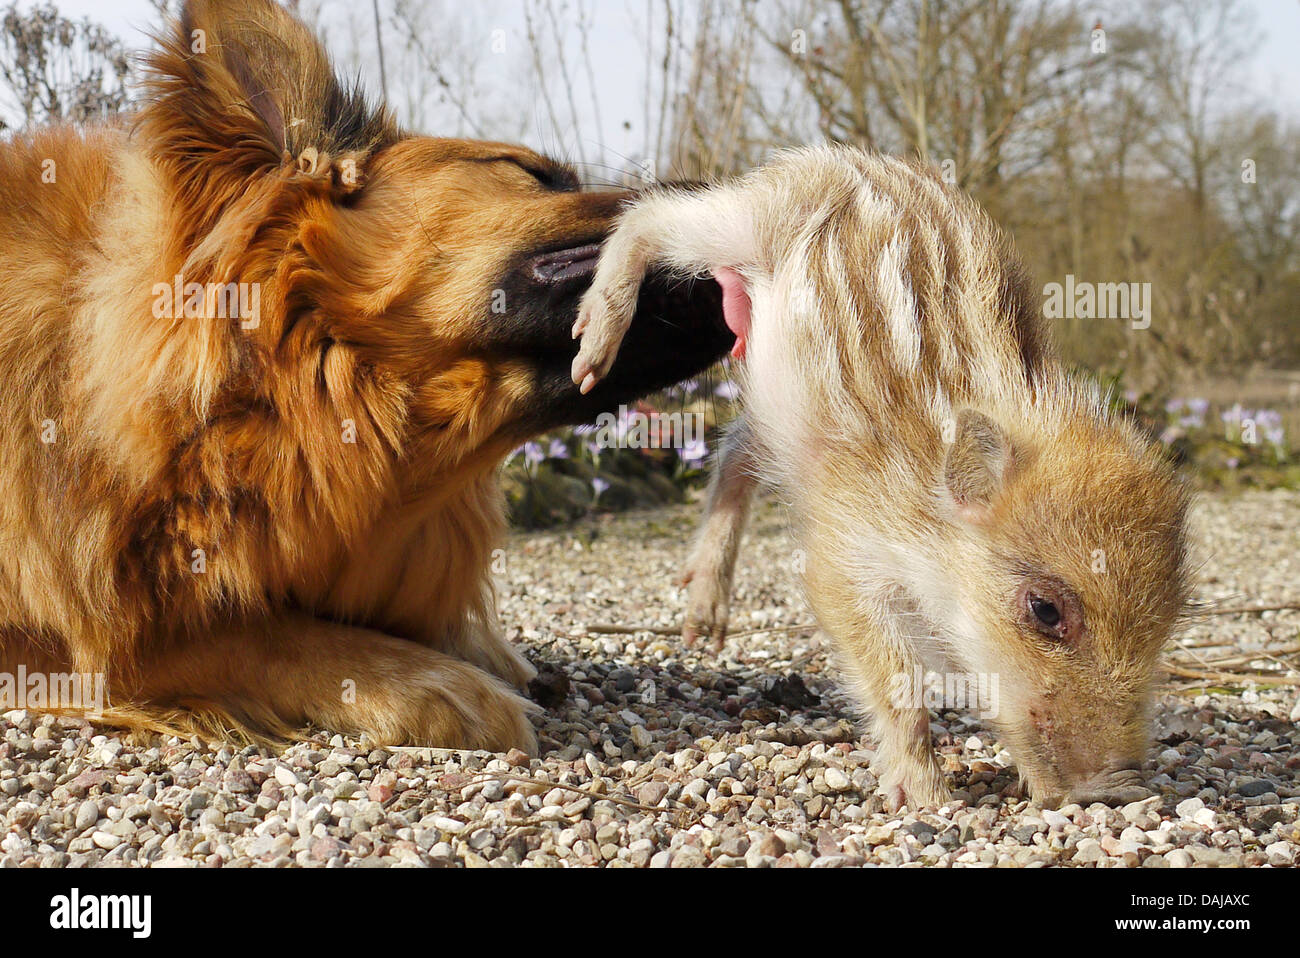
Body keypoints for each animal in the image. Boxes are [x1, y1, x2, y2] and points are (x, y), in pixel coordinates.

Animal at [570, 146, 1192, 810]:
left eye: (1167, 623)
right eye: (1045, 610)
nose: (1119, 789)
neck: (932, 522)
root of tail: (859, 159)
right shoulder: (846, 553)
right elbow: (896, 679)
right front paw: (926, 800)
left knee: (737, 443)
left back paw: (702, 623)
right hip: (748, 222)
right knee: (654, 214)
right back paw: (591, 353)